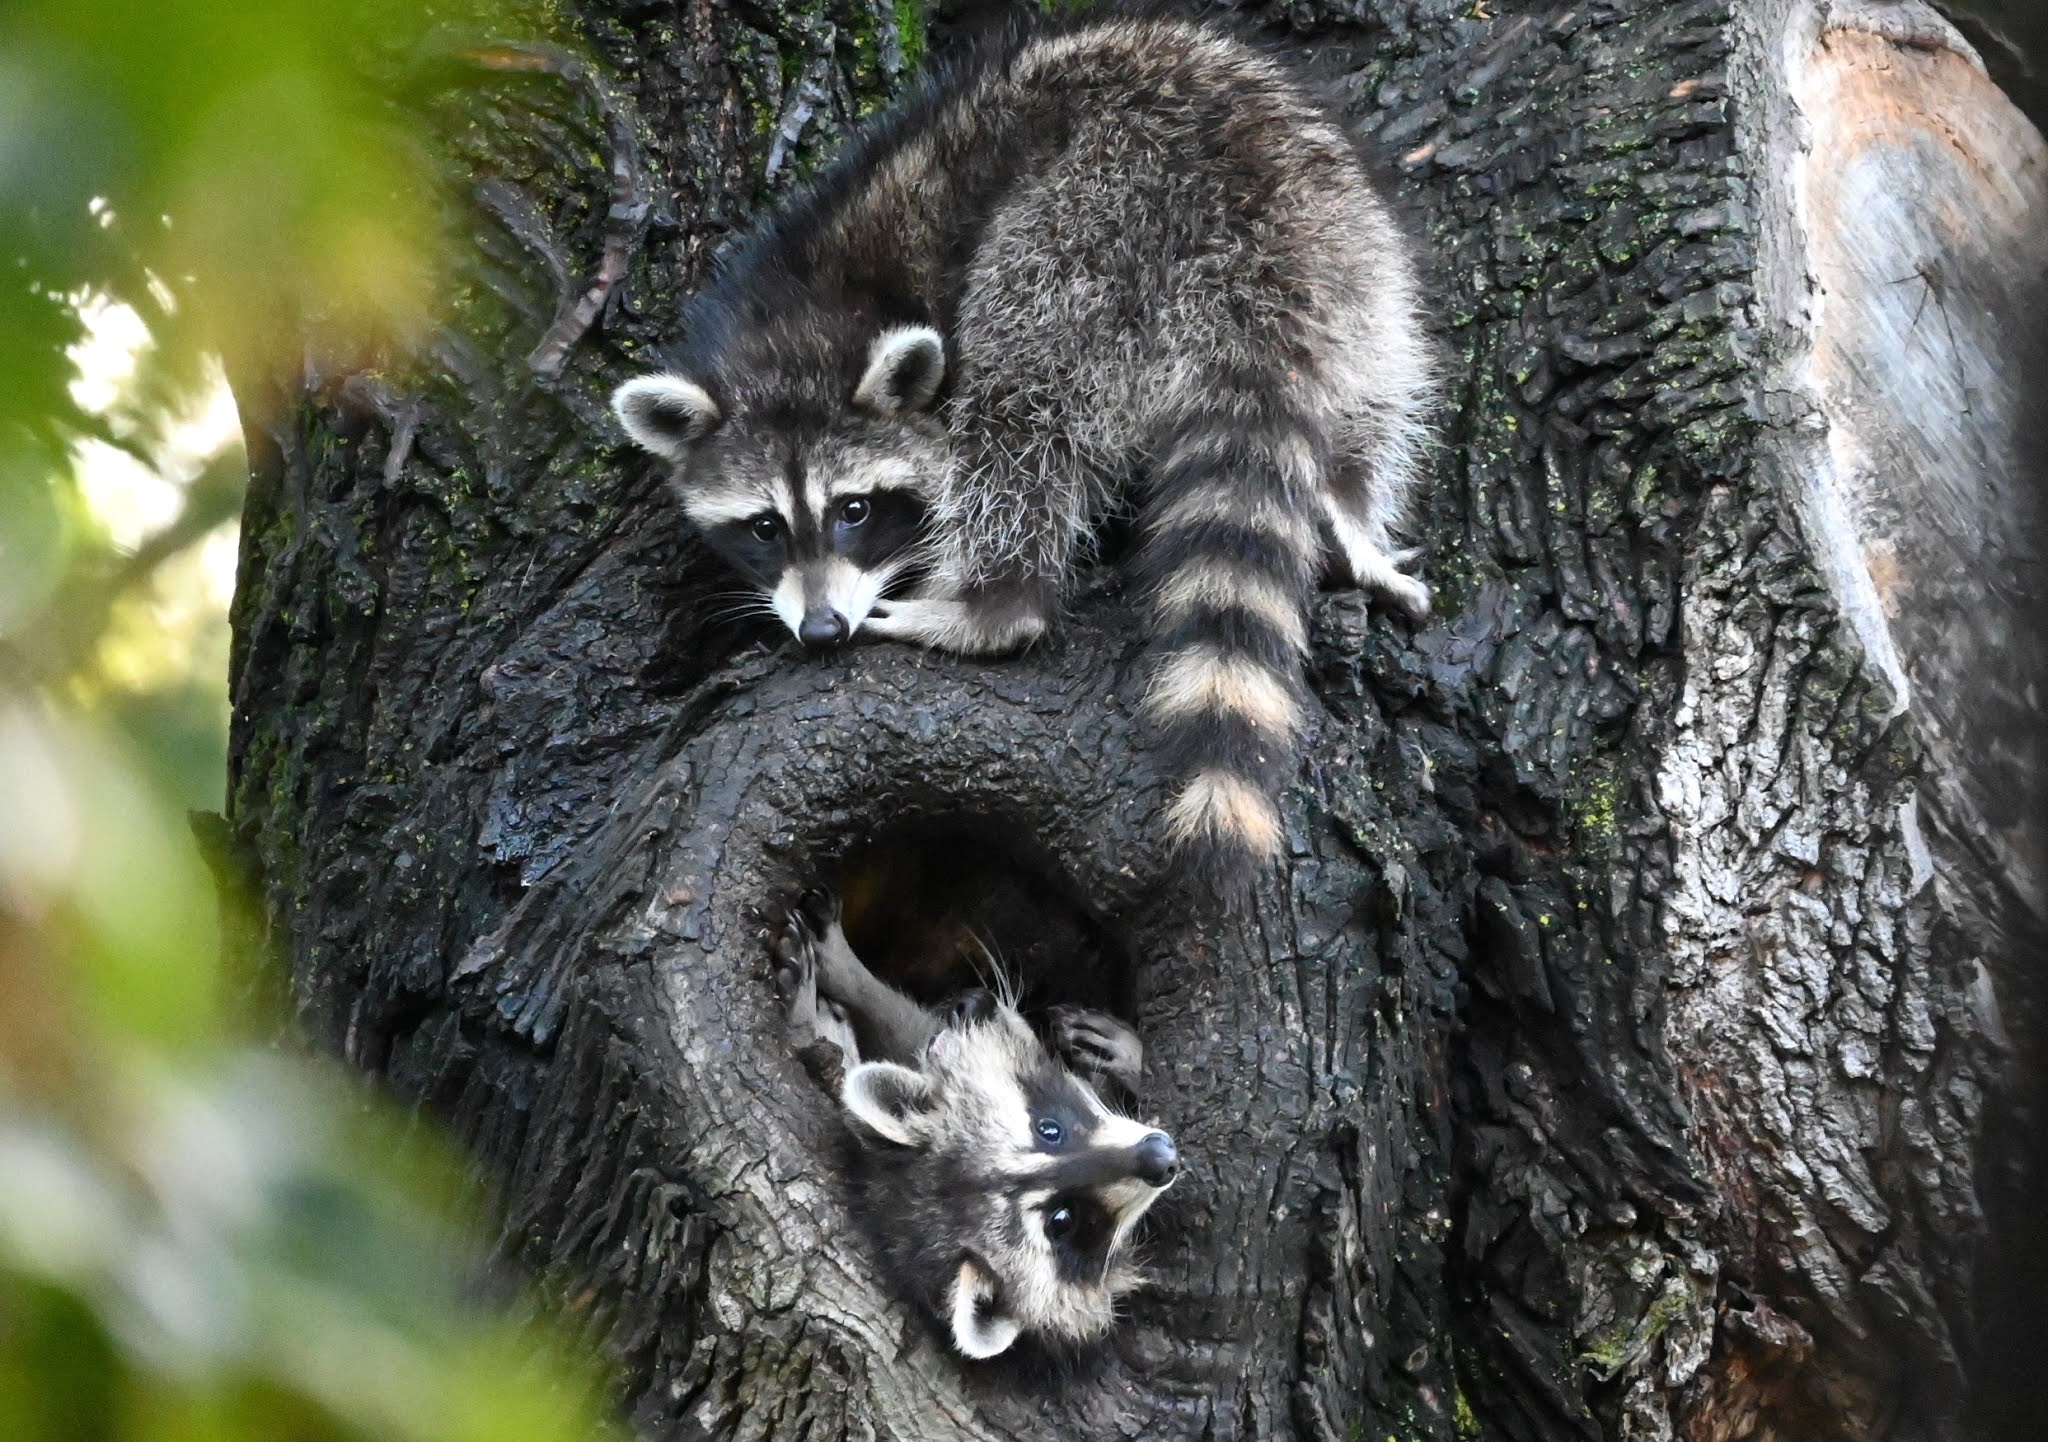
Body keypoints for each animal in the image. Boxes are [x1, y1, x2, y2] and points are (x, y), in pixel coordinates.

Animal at [613, 12, 1435, 895]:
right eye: (763, 527)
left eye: (854, 511)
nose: (825, 629)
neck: (795, 338)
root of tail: (1249, 242)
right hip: (1356, 257)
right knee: (1372, 400)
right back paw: (1351, 515)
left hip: (1088, 225)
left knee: (1018, 403)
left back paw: (992, 603)